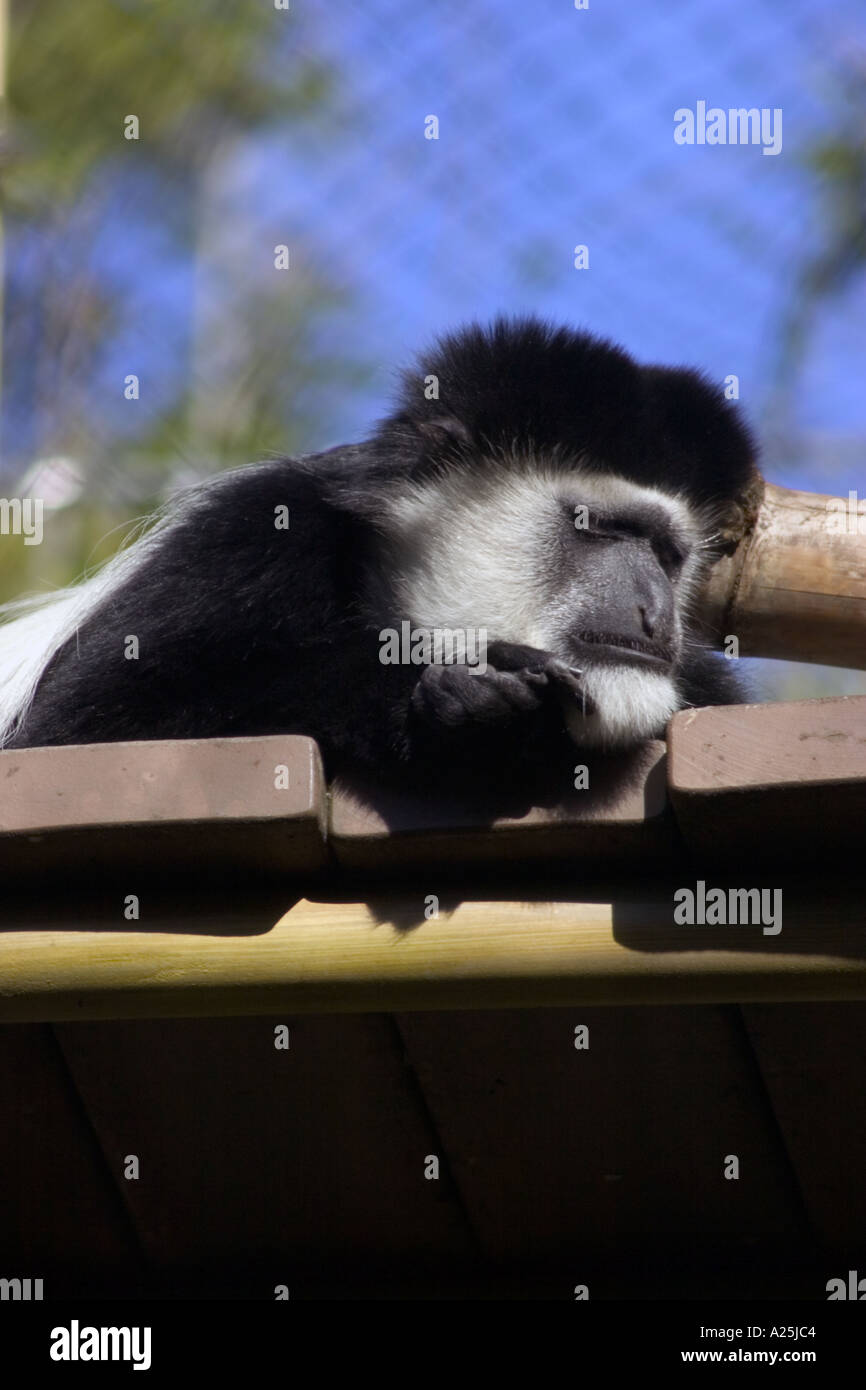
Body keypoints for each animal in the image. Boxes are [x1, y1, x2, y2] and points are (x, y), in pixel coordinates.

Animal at [0, 317, 759, 809]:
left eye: (668, 555)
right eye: (596, 529)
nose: (655, 612)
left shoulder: (704, 686)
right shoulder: (246, 538)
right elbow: (83, 733)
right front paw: (467, 691)